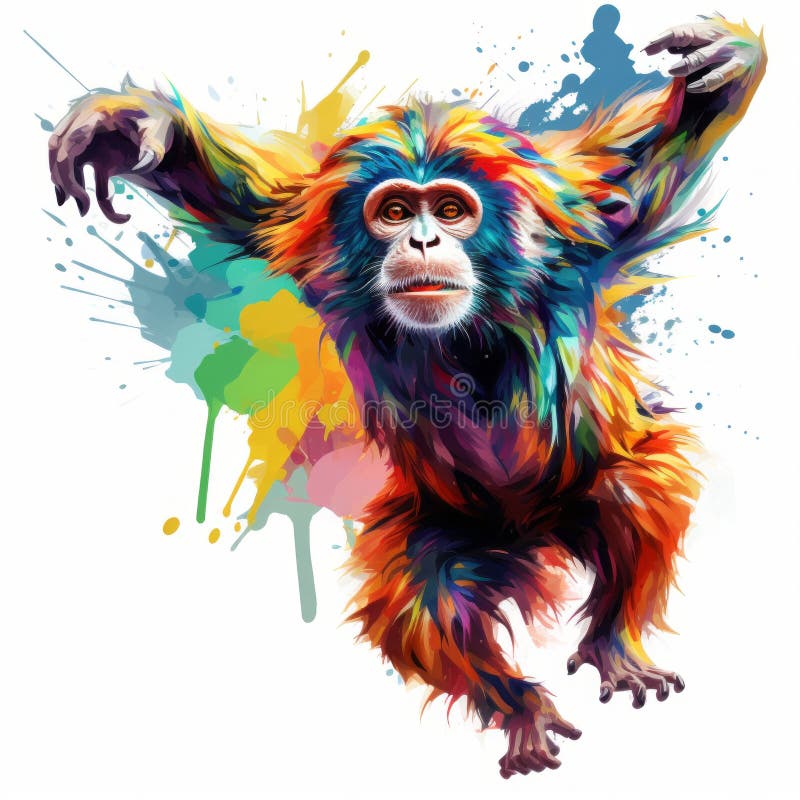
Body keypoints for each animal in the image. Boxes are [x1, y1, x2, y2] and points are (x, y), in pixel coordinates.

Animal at [47, 15, 765, 778]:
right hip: (452, 523)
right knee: (425, 594)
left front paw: (724, 63)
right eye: (394, 211)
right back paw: (519, 706)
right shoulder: (311, 224)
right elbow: (239, 196)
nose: (421, 239)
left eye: (450, 209)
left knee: (629, 490)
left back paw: (613, 646)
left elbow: (650, 163)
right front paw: (131, 127)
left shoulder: (580, 226)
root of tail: (533, 530)